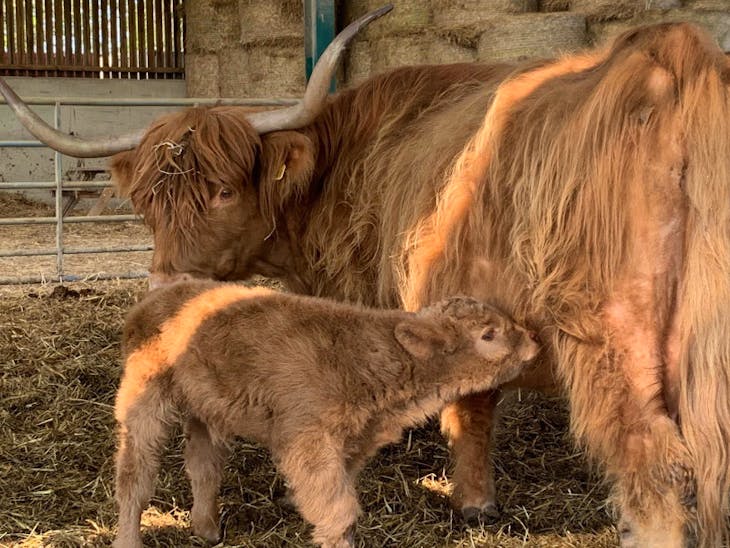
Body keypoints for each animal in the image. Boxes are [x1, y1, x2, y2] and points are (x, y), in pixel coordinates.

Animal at [114, 282, 539, 548]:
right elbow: (338, 511)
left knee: (203, 467)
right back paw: (128, 539)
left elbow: (338, 502)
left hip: (204, 412)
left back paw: (206, 530)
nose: (533, 342)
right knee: (135, 478)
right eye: (488, 334)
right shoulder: (309, 444)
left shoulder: (352, 445)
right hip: (143, 405)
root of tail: (157, 297)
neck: (366, 356)